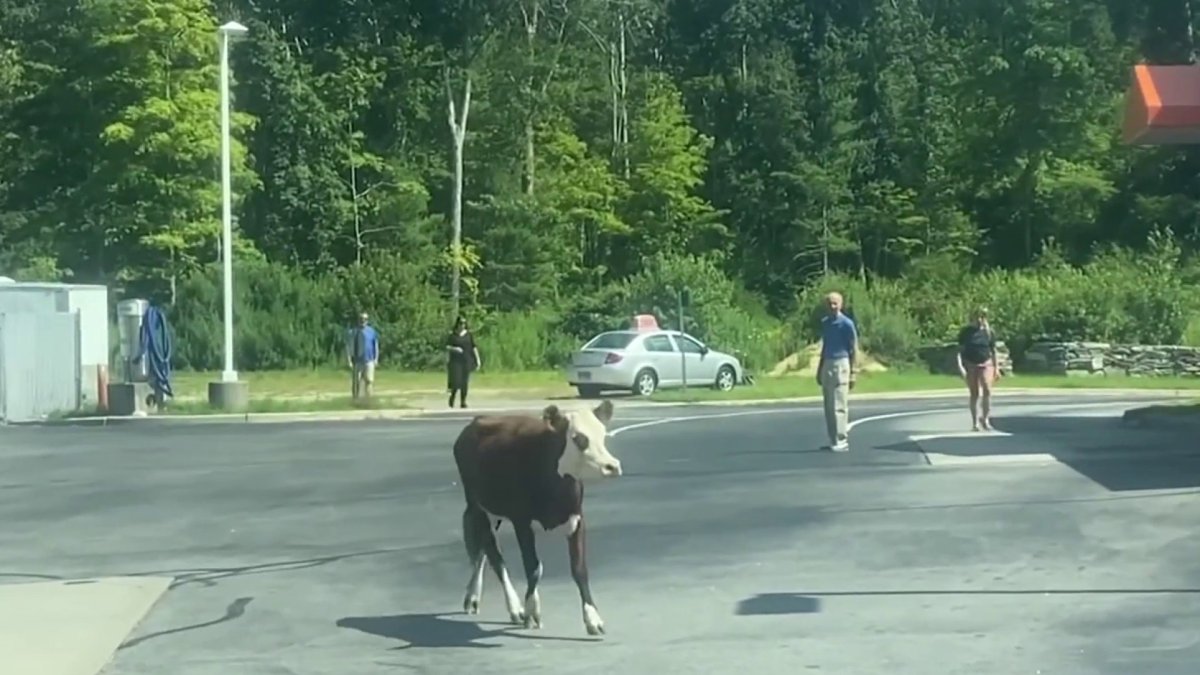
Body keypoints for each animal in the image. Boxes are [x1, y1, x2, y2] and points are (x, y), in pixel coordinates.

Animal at [452, 399, 623, 637]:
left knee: (481, 551)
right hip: (477, 505)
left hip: (492, 511)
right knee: (493, 553)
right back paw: (513, 607)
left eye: (602, 434)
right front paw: (531, 612)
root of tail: (478, 420)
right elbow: (534, 567)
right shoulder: (522, 521)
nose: (612, 466)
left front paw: (593, 619)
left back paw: (474, 598)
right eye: (578, 438)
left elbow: (579, 569)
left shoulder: (577, 520)